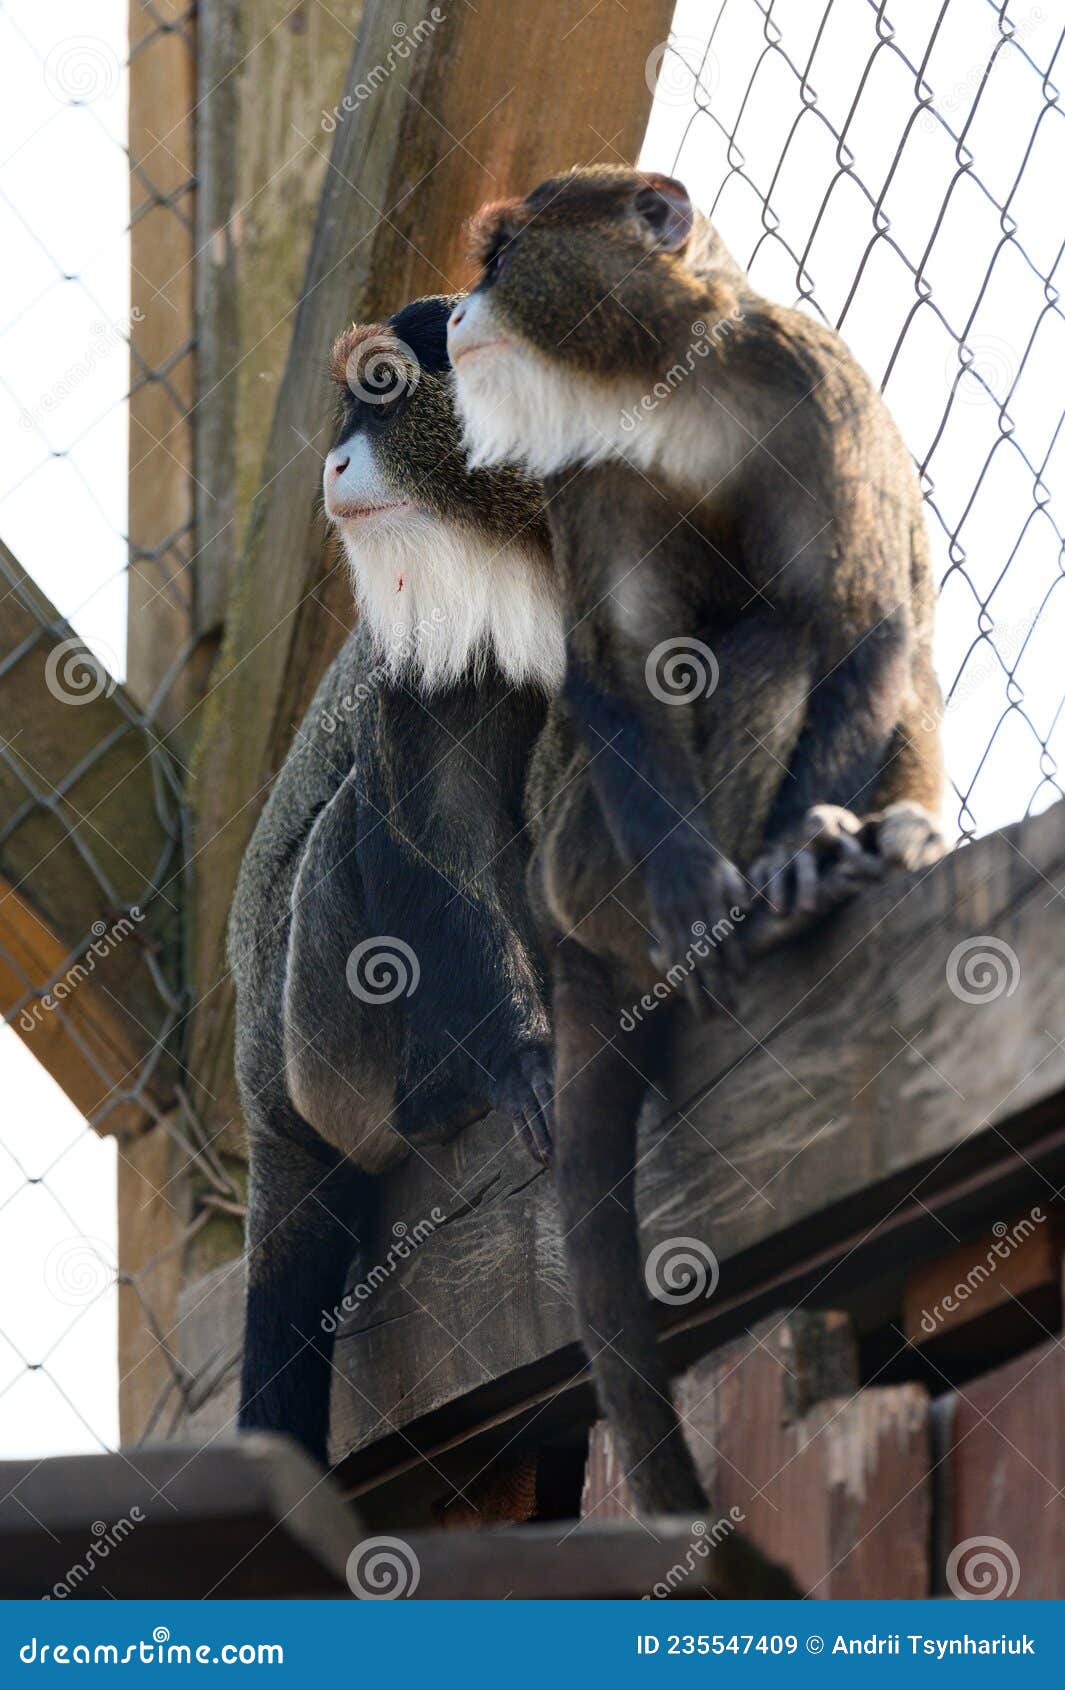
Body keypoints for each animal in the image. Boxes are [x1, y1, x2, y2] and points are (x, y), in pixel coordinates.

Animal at [229, 294, 563, 1465]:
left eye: (384, 397)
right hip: (323, 1055)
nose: (334, 461)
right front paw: (518, 1054)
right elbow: (429, 811)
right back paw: (443, 1092)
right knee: (350, 831)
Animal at [448, 167, 946, 1588]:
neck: (666, 376)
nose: (457, 308)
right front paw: (701, 893)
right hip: (580, 865)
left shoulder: (810, 381)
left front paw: (799, 858)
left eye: (502, 257)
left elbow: (864, 617)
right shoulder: (587, 476)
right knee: (742, 649)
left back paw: (850, 856)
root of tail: (564, 938)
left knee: (790, 638)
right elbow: (622, 668)